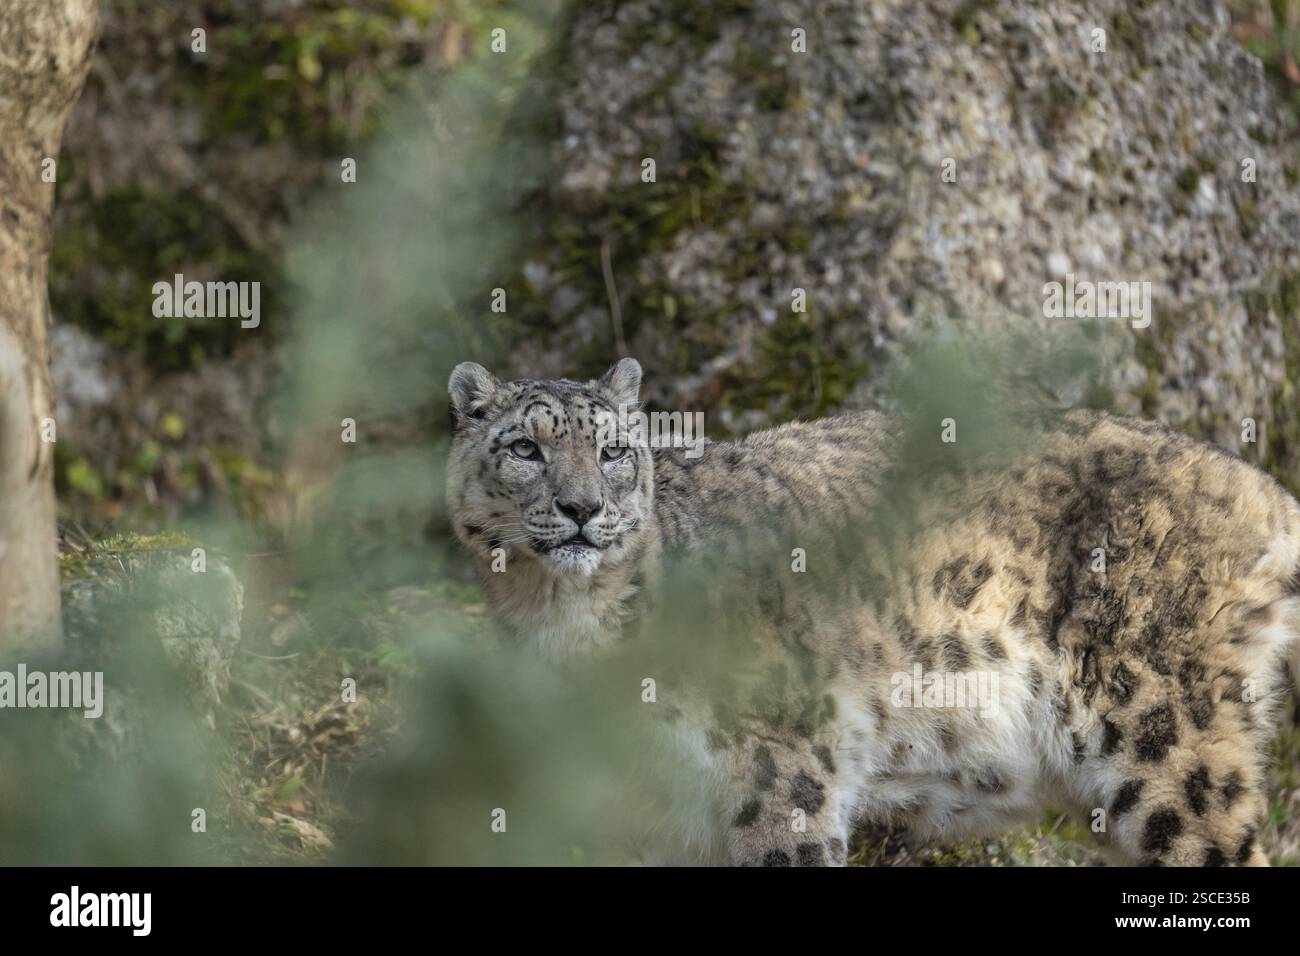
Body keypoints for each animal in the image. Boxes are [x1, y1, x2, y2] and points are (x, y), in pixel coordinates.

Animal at [445, 356, 1300, 866]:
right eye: (524, 448)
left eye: (614, 450)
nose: (581, 507)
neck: (563, 627)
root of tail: (1255, 484)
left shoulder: (780, 776)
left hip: (1163, 741)